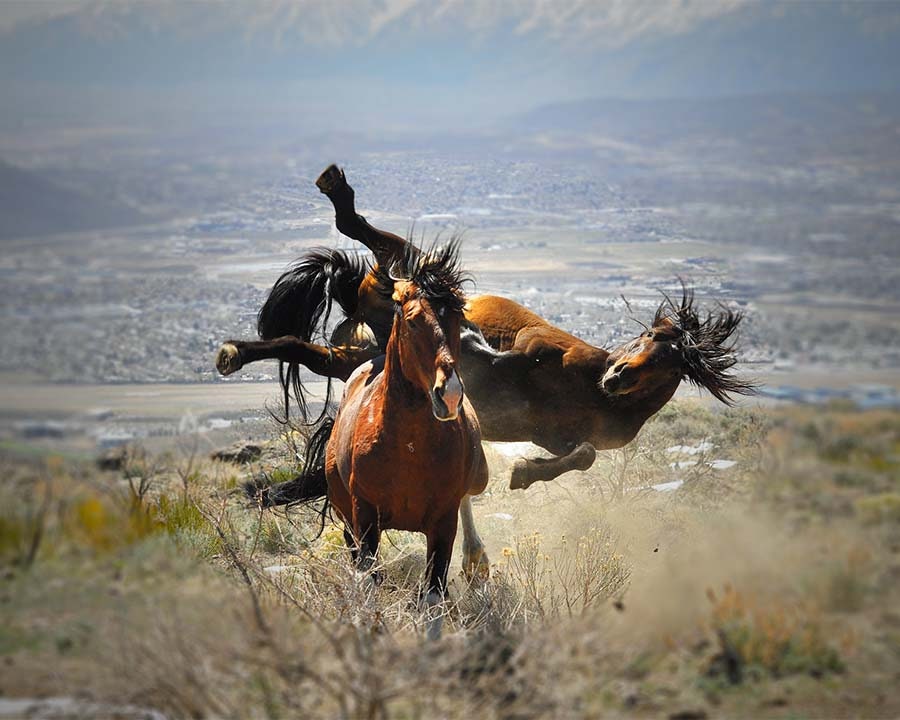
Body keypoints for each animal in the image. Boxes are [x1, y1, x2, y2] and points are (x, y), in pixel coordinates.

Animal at [216, 165, 755, 490]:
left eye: (669, 363)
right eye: (647, 336)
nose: (618, 375)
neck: (590, 389)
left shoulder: (561, 436)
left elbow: (583, 454)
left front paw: (523, 473)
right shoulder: (527, 349)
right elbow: (493, 354)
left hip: (352, 356)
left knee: (297, 346)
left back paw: (234, 357)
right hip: (395, 278)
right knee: (369, 239)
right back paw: (337, 190)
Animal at [258, 240, 489, 640]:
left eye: (458, 318)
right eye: (411, 319)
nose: (449, 395)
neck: (408, 449)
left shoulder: (442, 525)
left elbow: (433, 596)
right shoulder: (363, 518)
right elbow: (367, 585)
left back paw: (476, 562)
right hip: (346, 516)